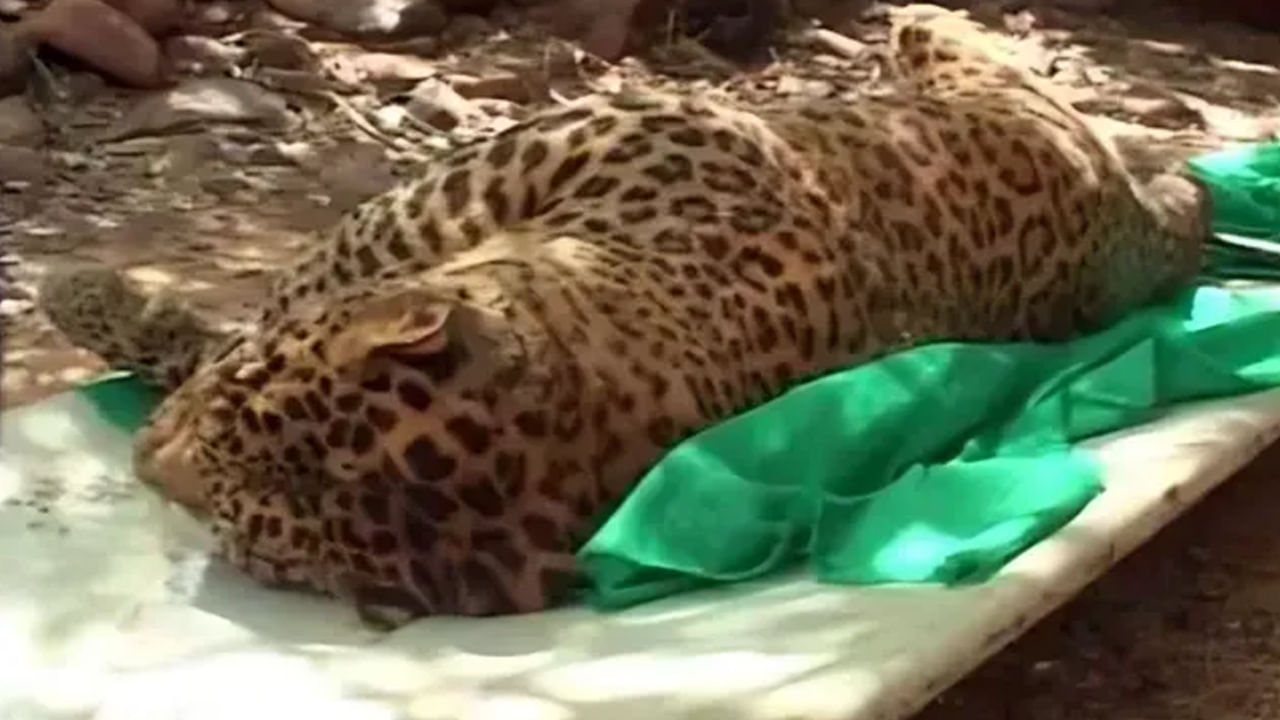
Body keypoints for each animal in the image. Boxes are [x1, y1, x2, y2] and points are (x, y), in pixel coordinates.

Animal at [36, 11, 1210, 629]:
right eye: (237, 415)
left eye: (240, 532)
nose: (144, 459)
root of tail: (1139, 232)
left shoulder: (456, 191)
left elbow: (300, 279)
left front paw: (83, 295)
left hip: (953, 53)